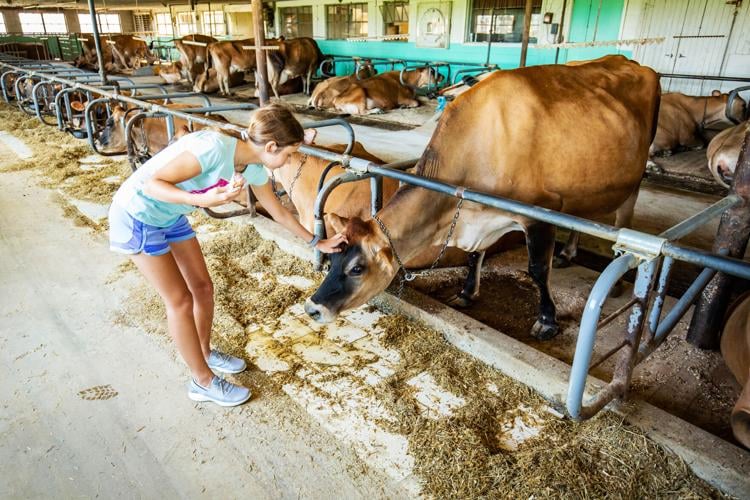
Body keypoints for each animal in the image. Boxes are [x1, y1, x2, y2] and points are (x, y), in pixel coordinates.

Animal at [303, 55, 660, 342]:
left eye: (356, 268)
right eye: (333, 259)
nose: (312, 307)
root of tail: (630, 61)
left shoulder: (539, 213)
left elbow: (536, 270)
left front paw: (546, 322)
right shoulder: (474, 211)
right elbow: (475, 255)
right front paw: (466, 293)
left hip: (635, 176)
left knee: (622, 216)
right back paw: (568, 253)